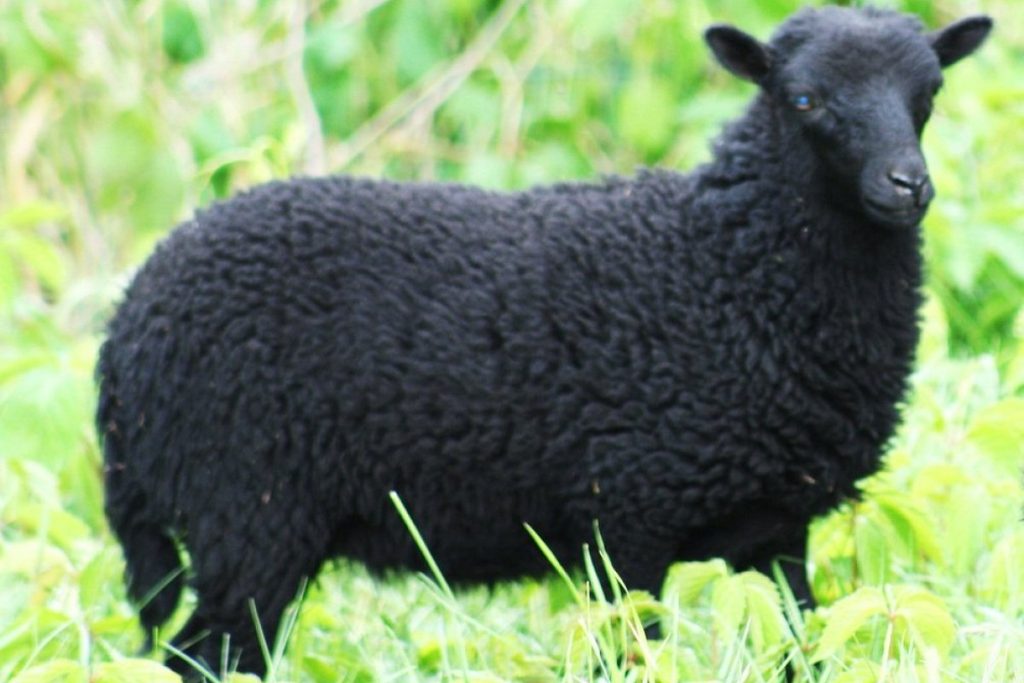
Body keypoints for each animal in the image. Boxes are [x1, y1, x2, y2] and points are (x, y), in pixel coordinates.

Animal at [97, 6, 992, 677]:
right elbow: (627, 652)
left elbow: (798, 648)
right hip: (247, 514)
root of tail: (126, 327)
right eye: (803, 99)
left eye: (932, 90)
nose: (907, 186)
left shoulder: (777, 529)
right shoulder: (628, 516)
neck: (724, 269)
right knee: (201, 658)